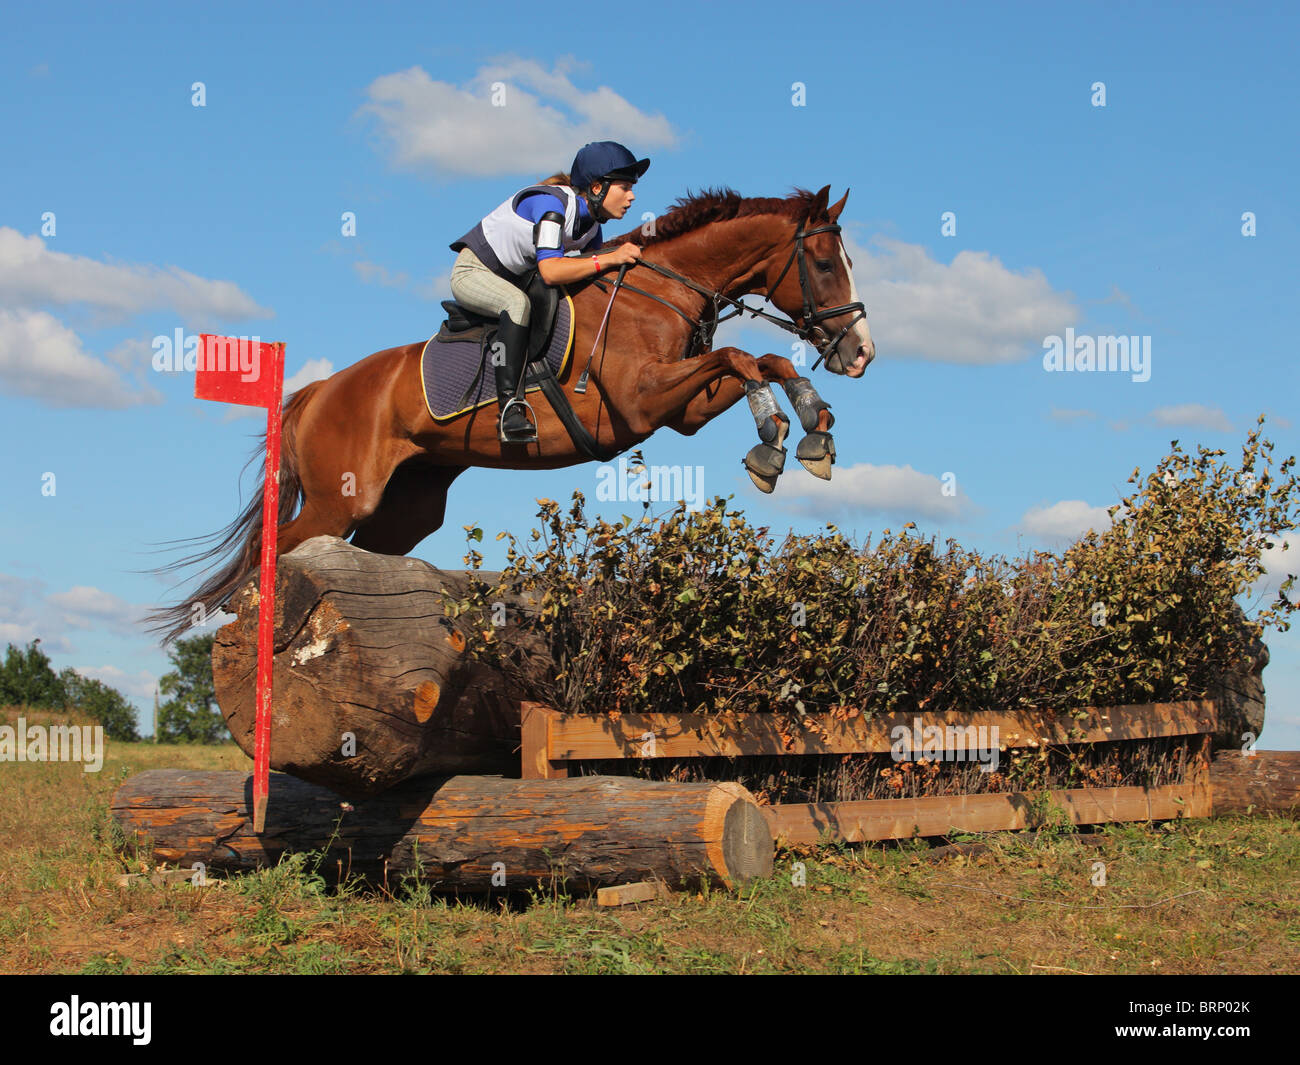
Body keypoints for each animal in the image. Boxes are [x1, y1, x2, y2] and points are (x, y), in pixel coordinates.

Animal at [148, 184, 875, 644]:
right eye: (820, 262)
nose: (861, 352)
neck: (659, 289)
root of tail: (319, 389)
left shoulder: (682, 410)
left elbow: (762, 360)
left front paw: (811, 432)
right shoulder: (640, 401)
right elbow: (741, 357)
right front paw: (772, 439)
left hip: (405, 509)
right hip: (339, 499)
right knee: (271, 550)